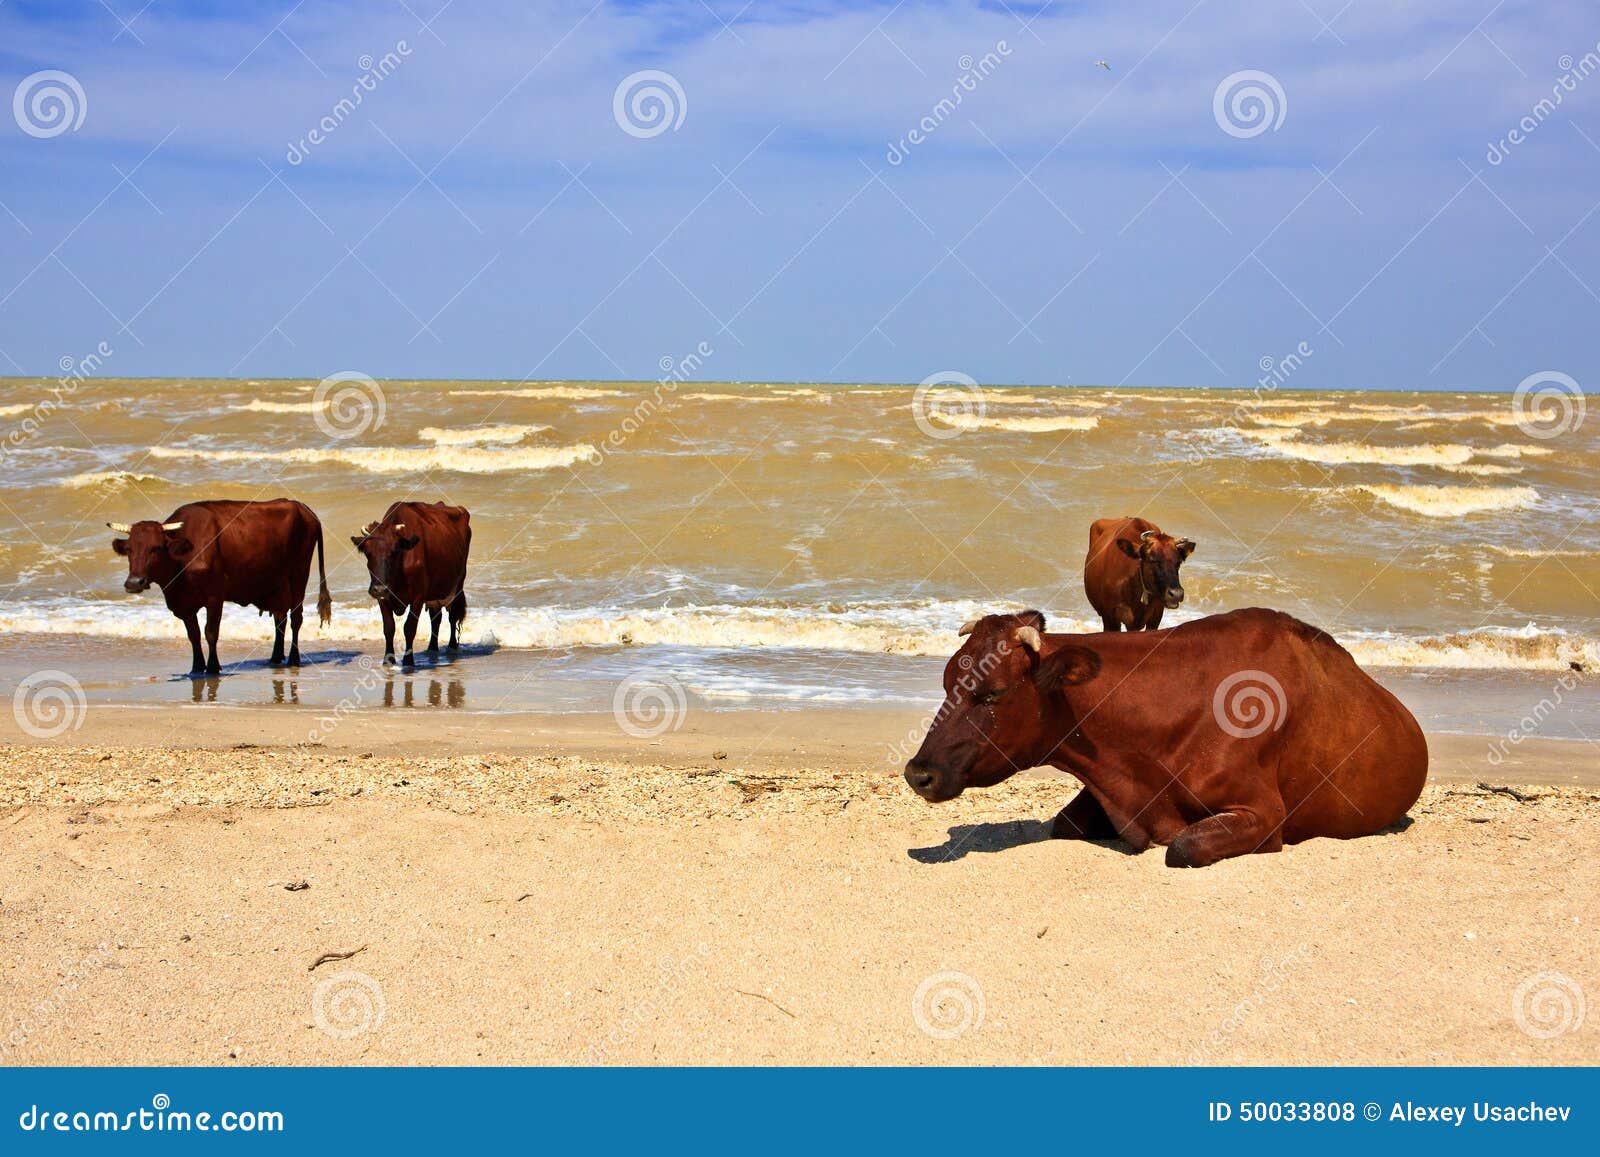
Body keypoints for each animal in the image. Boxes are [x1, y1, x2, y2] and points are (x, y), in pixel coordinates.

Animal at [109, 499, 331, 675]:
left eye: (156, 548)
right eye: (129, 549)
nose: (134, 582)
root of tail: (303, 508)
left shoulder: (215, 597)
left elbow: (210, 632)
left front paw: (213, 668)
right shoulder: (185, 605)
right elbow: (193, 635)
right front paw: (197, 668)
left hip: (299, 575)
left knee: (296, 618)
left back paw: (294, 659)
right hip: (278, 585)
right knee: (280, 619)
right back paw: (275, 658)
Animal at [351, 501, 471, 666]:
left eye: (394, 552)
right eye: (368, 553)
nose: (379, 589)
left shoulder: (417, 598)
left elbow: (409, 628)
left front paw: (408, 660)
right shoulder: (383, 598)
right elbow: (389, 627)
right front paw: (388, 659)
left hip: (457, 585)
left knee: (452, 616)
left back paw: (452, 646)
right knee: (436, 617)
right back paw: (432, 648)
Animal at [903, 608, 1428, 868]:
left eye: (993, 693)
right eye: (947, 682)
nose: (917, 773)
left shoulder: (1263, 812)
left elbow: (1183, 846)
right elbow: (1065, 824)